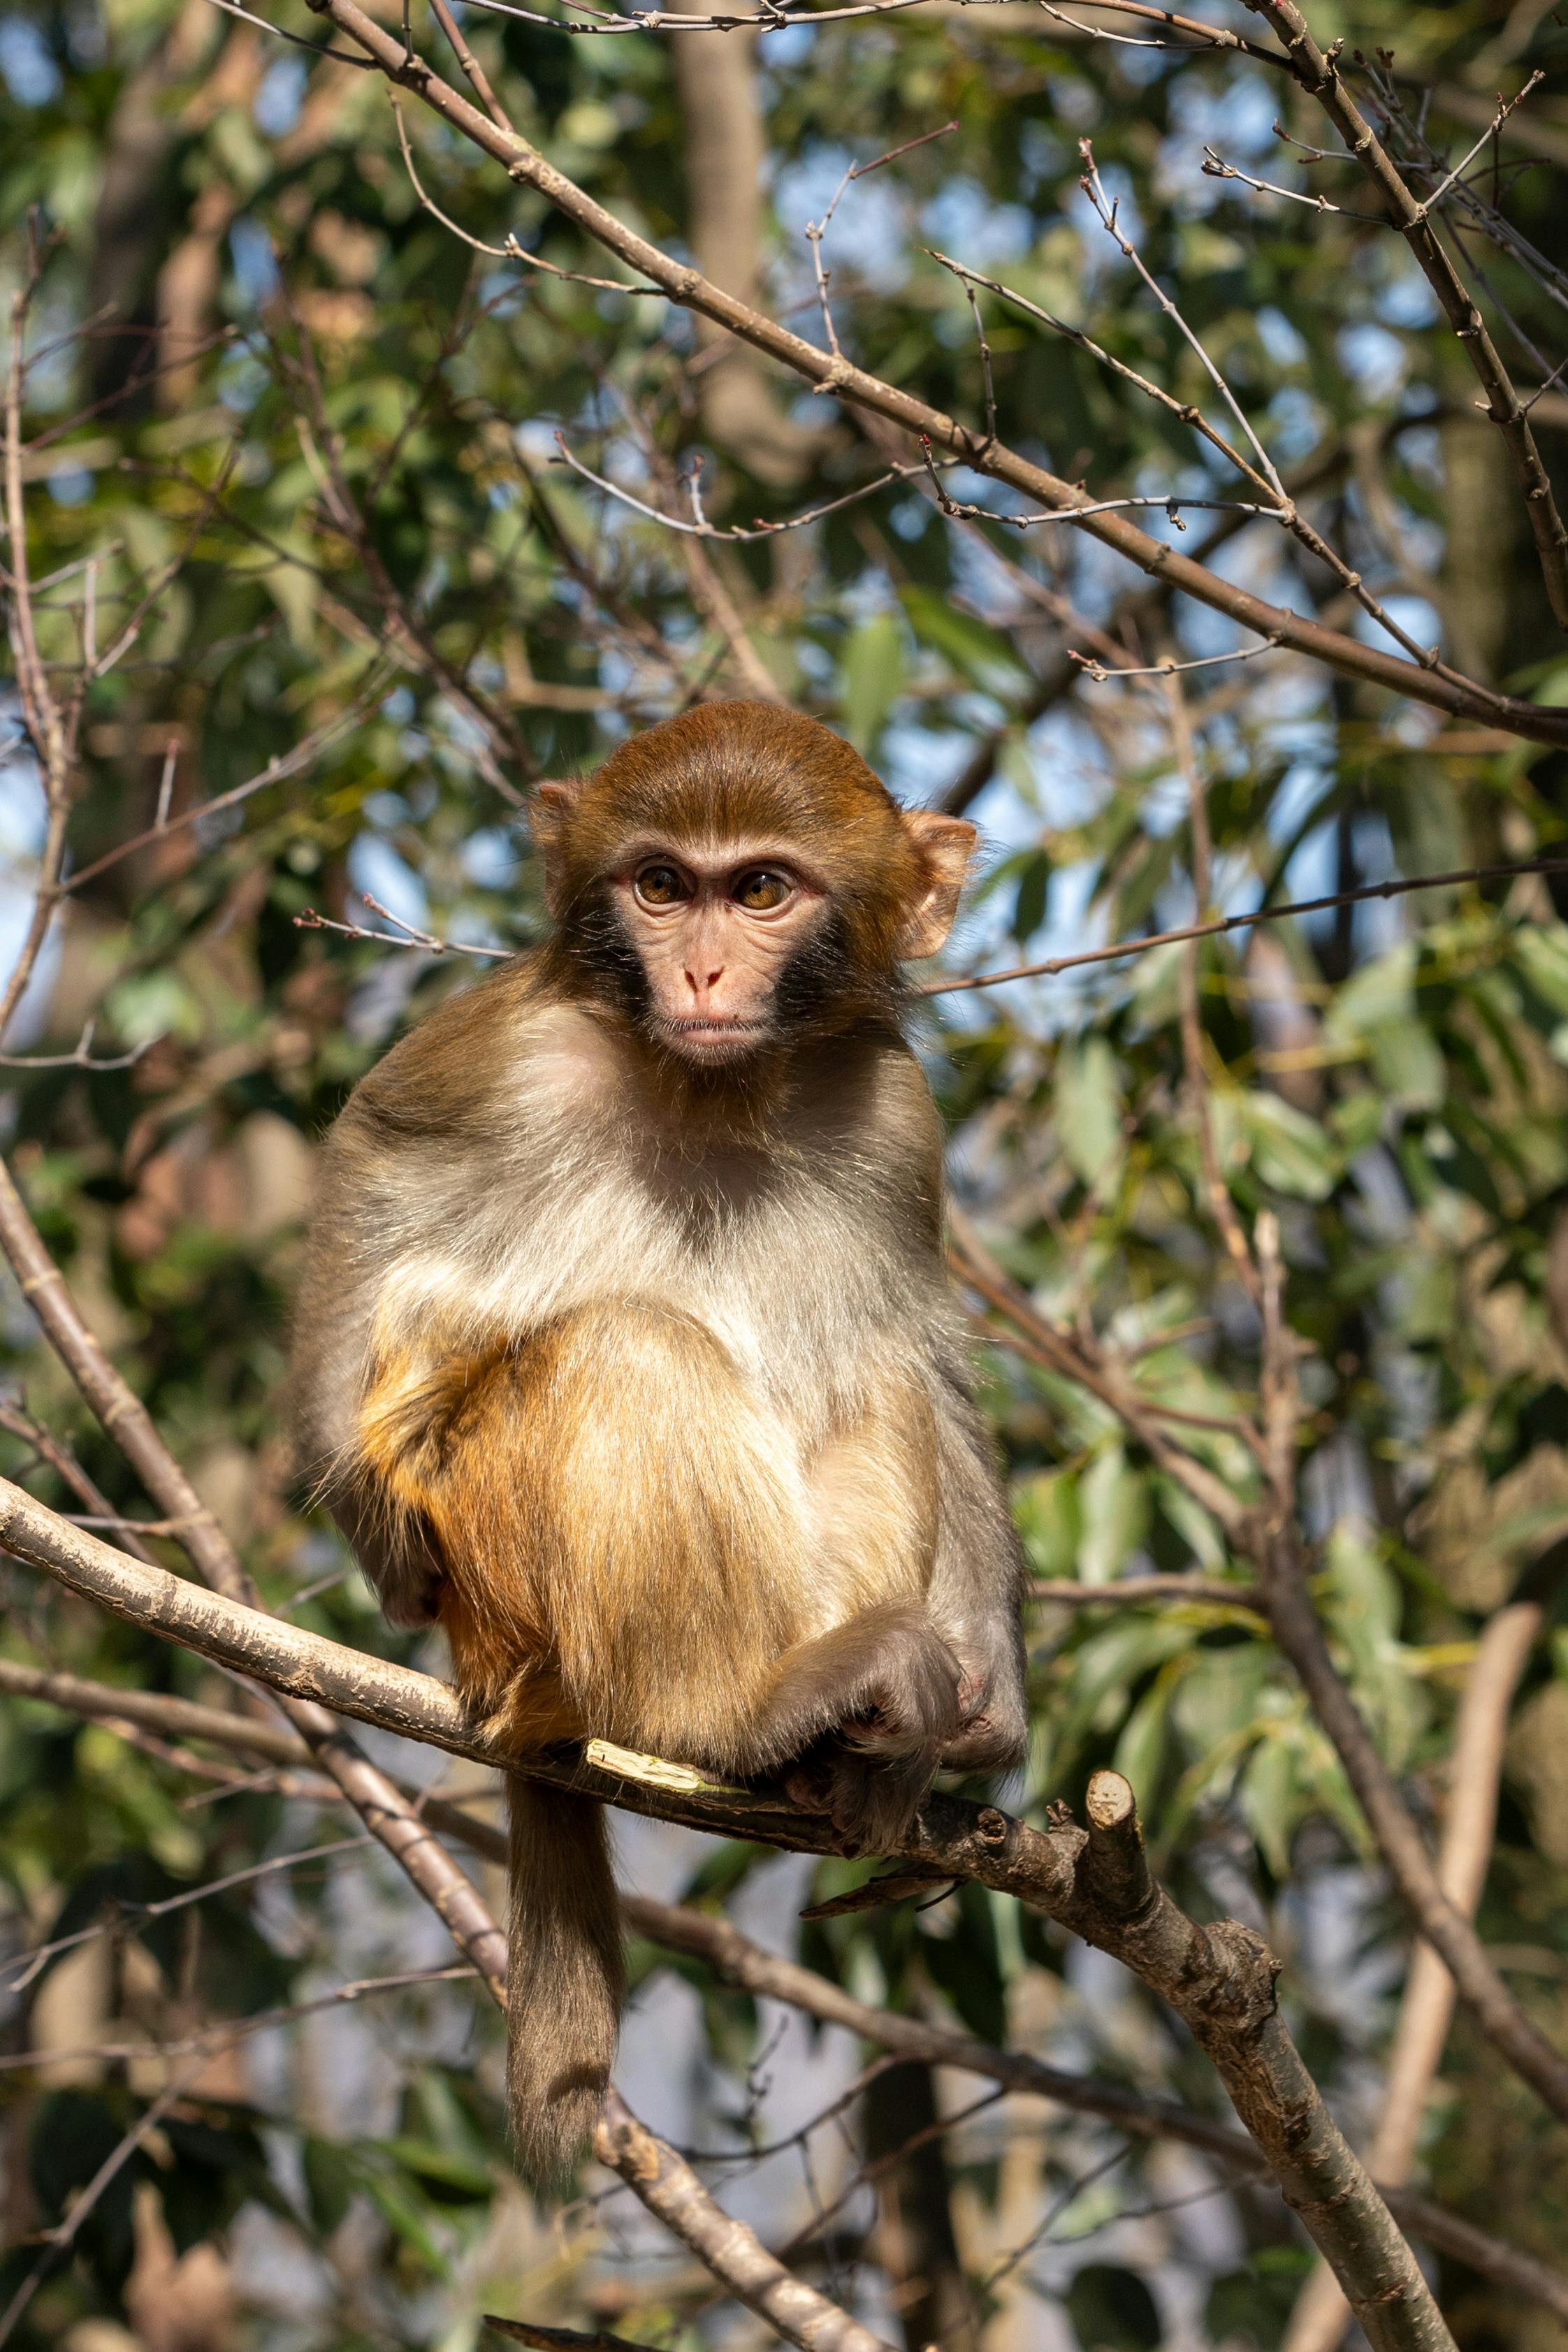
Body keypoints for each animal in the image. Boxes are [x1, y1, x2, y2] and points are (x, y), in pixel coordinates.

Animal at [290, 699, 1027, 2185]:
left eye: (759, 891)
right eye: (658, 885)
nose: (696, 968)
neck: (707, 1086)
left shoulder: (891, 1114)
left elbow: (915, 1337)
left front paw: (987, 1697)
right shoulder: (504, 1058)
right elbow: (373, 1172)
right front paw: (367, 1523)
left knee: (866, 1370)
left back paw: (848, 1750)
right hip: (509, 1585)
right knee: (627, 1344)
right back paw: (736, 1716)